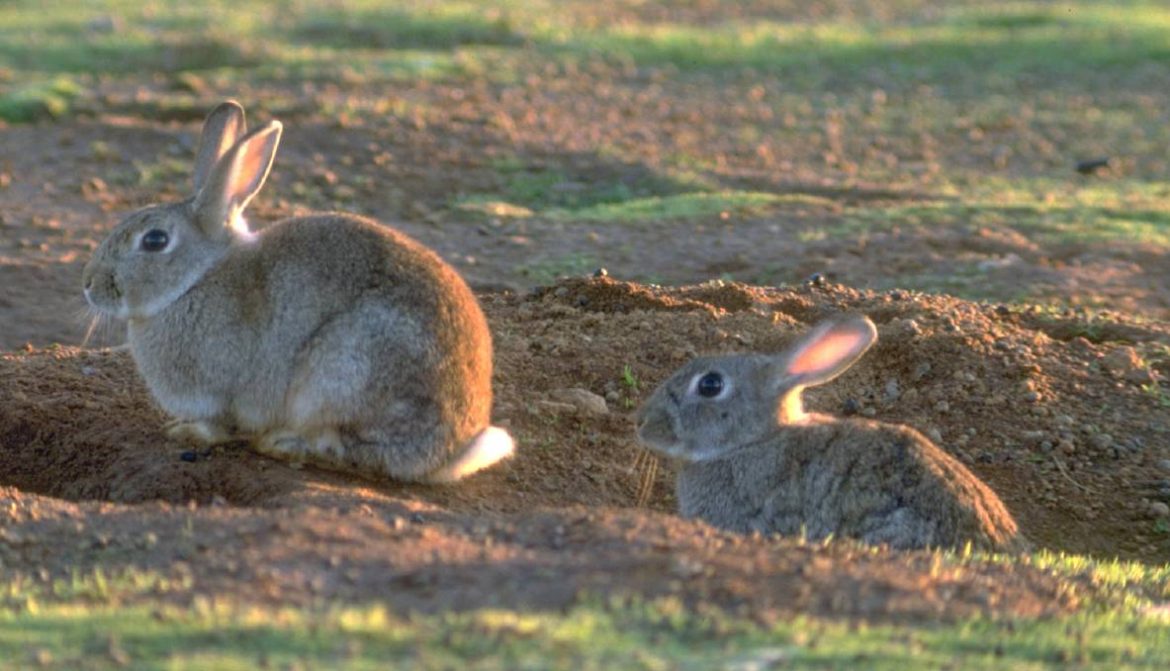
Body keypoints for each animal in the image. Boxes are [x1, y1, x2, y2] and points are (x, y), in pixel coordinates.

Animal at [82, 100, 513, 483]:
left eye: (155, 240)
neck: (197, 279)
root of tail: (450, 453)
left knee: (353, 453)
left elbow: (220, 425)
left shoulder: (223, 392)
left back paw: (281, 444)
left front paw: (185, 432)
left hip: (340, 372)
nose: (88, 285)